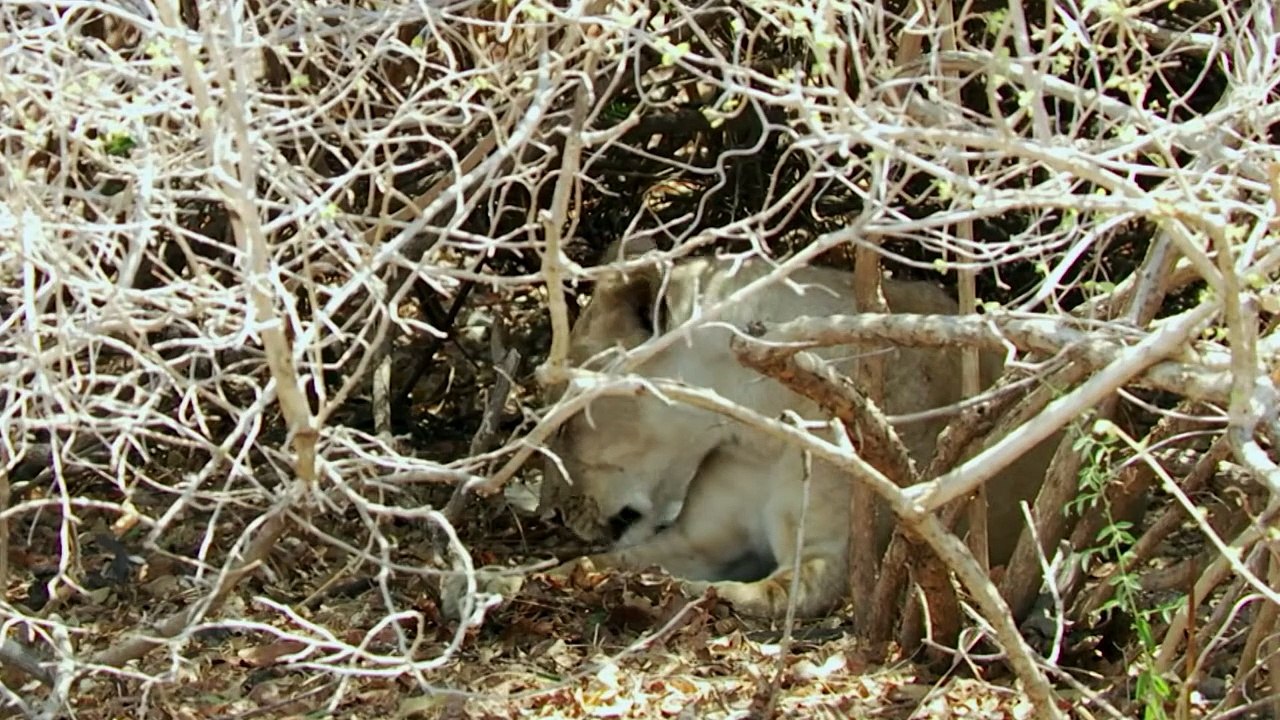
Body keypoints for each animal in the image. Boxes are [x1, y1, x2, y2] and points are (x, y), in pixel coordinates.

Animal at [539, 246, 1048, 618]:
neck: (757, 434)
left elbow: (708, 589)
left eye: (568, 419)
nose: (554, 515)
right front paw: (532, 575)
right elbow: (601, 562)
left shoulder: (828, 563)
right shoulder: (697, 539)